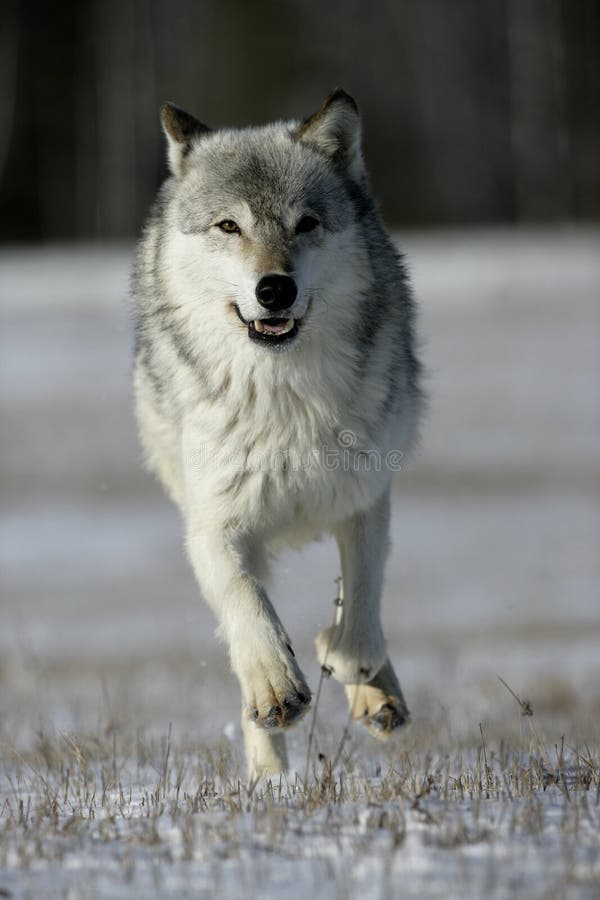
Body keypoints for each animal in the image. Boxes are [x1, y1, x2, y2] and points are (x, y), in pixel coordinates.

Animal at [132, 89, 423, 778]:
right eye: (228, 227)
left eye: (306, 224)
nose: (274, 289)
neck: (284, 396)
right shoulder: (213, 524)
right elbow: (248, 604)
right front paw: (276, 686)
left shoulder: (365, 496)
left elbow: (362, 605)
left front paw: (353, 664)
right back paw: (270, 777)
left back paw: (375, 692)